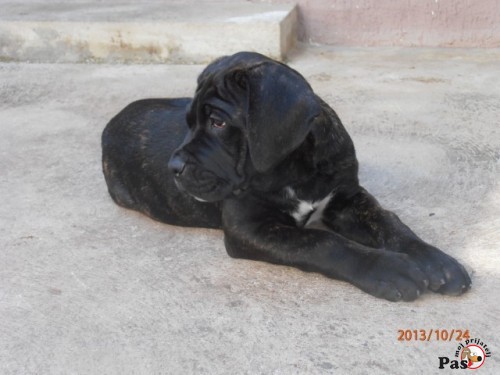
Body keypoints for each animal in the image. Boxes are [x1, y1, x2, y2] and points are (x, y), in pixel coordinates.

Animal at [102, 50, 472, 302]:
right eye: (189, 123)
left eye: (218, 122)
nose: (173, 166)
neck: (294, 168)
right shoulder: (249, 228)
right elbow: (323, 243)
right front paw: (389, 269)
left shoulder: (347, 199)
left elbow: (389, 223)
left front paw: (434, 261)